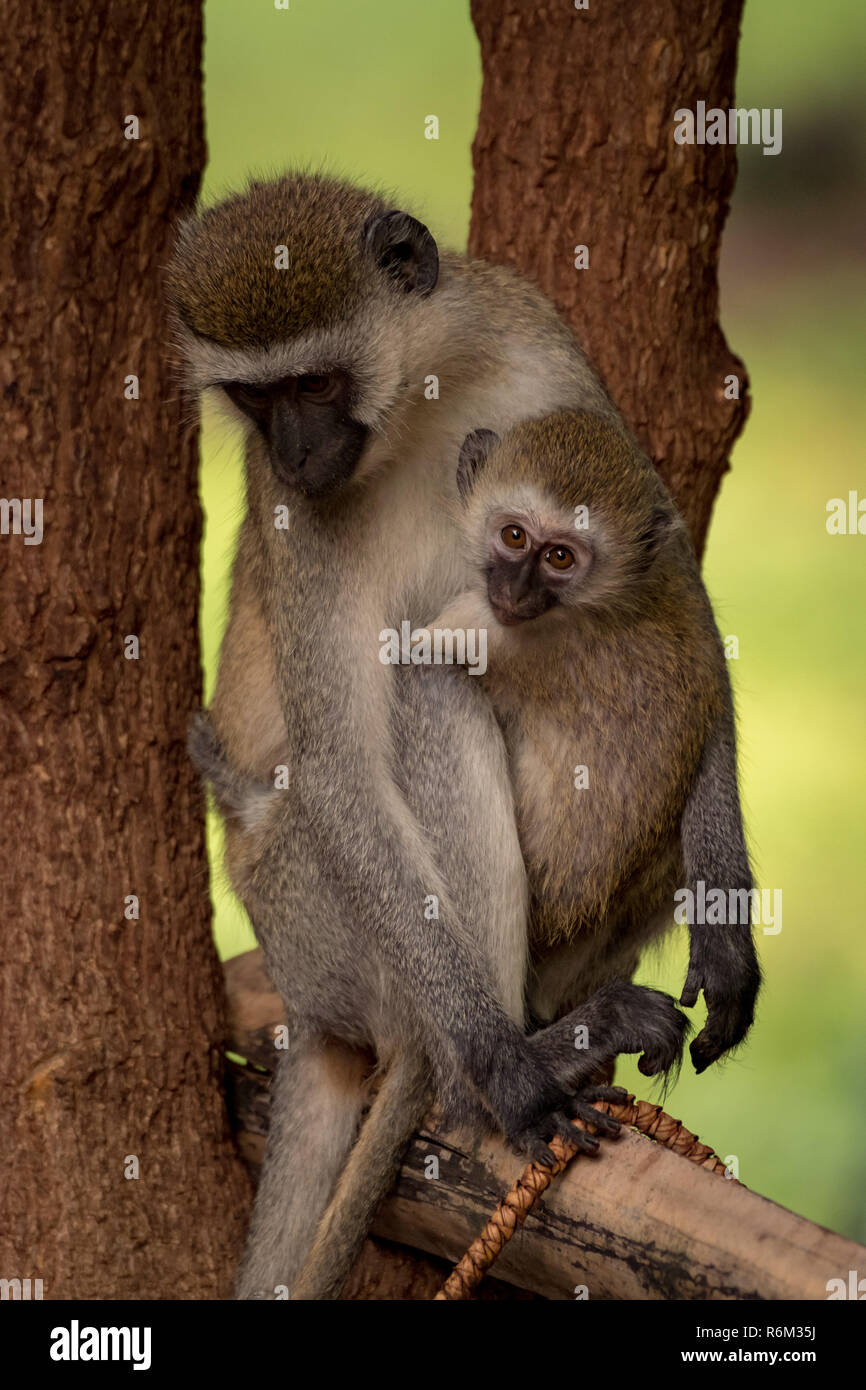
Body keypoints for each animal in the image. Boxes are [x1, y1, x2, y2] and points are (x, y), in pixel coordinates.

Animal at [168, 173, 688, 1299]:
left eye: (316, 382)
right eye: (256, 400)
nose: (293, 450)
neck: (421, 401)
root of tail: (310, 1008)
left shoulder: (539, 349)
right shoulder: (294, 513)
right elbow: (343, 768)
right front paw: (503, 1070)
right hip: (317, 917)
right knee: (423, 706)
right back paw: (498, 1066)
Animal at [426, 411, 761, 1068]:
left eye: (560, 556)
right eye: (513, 537)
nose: (516, 591)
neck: (593, 607)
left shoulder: (486, 628)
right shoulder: (669, 589)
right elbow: (710, 696)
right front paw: (727, 945)